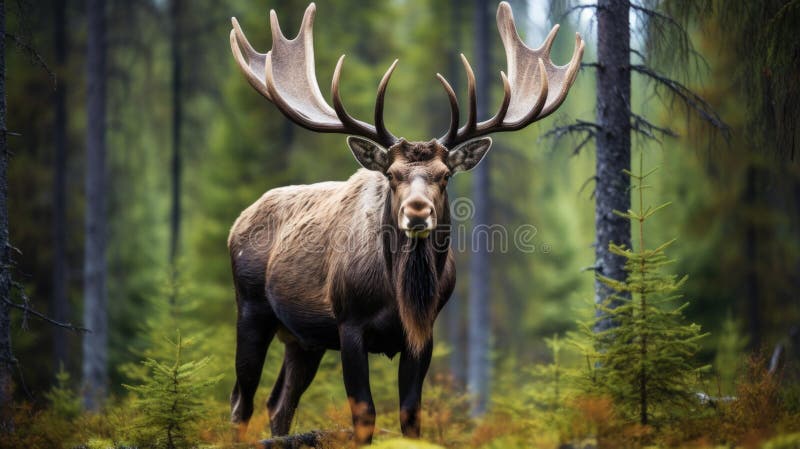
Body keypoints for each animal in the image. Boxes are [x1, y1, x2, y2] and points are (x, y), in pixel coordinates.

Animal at [227, 1, 583, 444]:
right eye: (392, 175)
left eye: (444, 175)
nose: (417, 211)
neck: (399, 294)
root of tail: (238, 221)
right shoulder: (349, 324)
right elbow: (364, 414)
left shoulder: (424, 331)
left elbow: (411, 414)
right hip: (251, 308)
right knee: (241, 401)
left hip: (303, 338)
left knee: (279, 404)